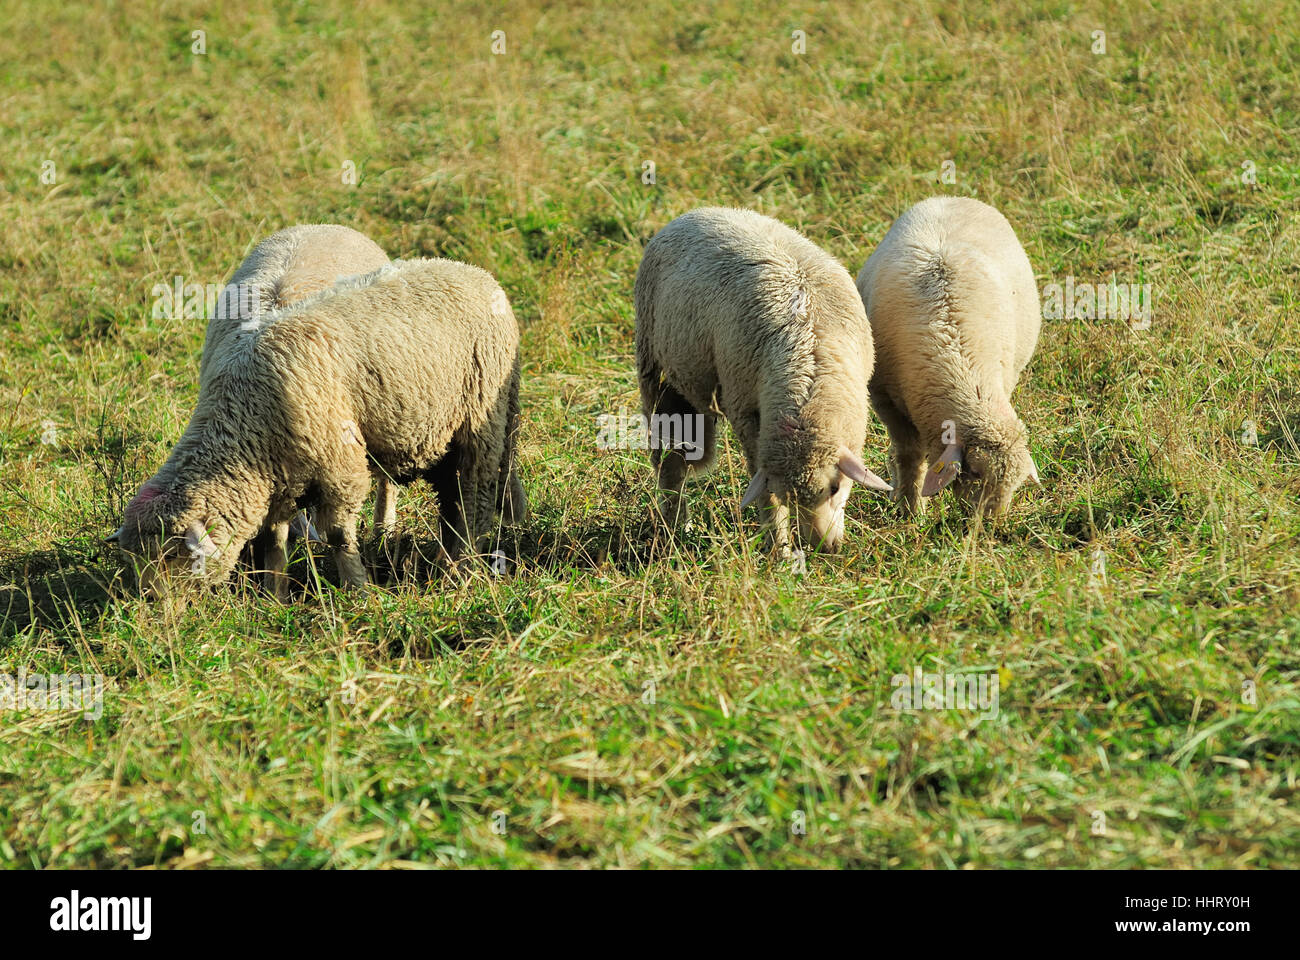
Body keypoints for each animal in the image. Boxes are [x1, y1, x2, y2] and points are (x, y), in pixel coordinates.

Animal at [111, 257, 524, 596]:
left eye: (171, 557)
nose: (154, 608)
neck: (244, 415)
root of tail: (475, 271)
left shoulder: (341, 469)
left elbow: (339, 537)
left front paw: (359, 590)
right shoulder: (278, 478)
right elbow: (273, 540)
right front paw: (275, 597)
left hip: (483, 421)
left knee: (475, 499)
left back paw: (460, 569)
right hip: (454, 434)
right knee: (464, 496)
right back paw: (460, 556)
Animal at [634, 206, 892, 554]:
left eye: (835, 488)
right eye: (790, 498)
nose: (824, 547)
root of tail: (694, 212)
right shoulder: (747, 415)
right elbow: (767, 498)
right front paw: (779, 550)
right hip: (656, 374)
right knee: (668, 463)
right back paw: (676, 527)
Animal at [855, 196, 1041, 517]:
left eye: (1015, 484)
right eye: (975, 472)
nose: (990, 523)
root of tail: (951, 198)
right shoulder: (885, 399)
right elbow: (910, 455)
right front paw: (911, 510)